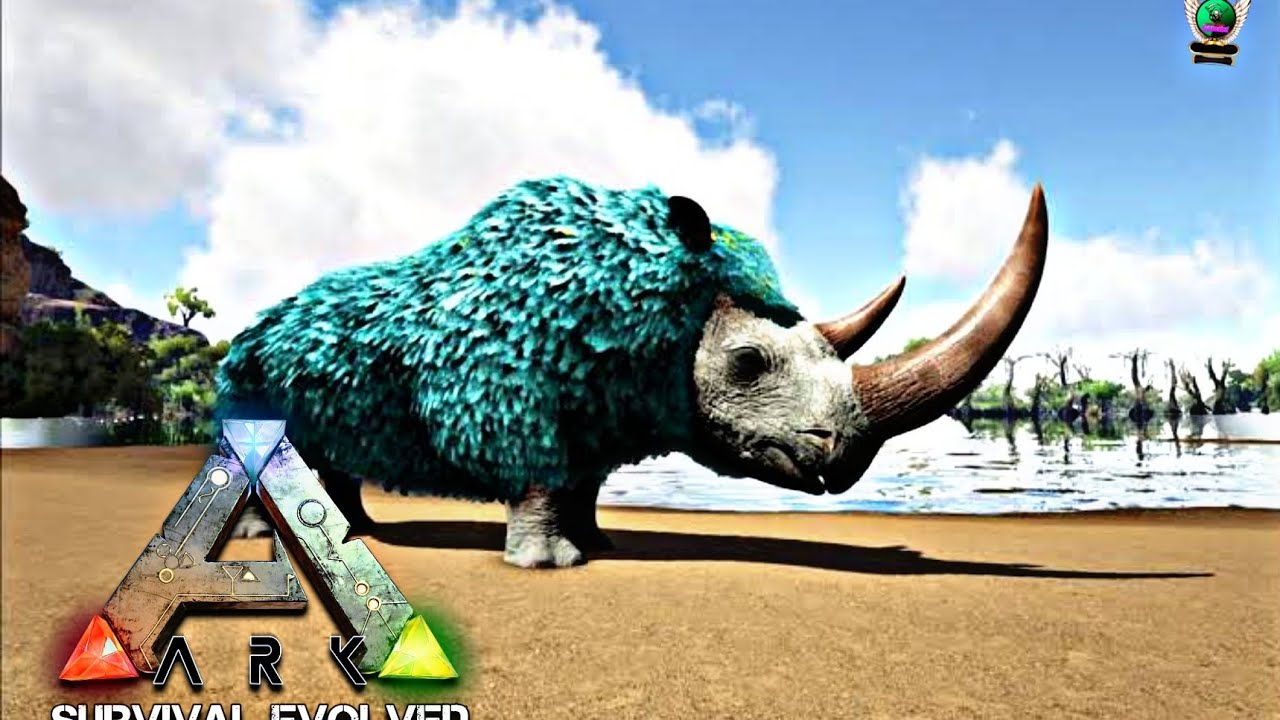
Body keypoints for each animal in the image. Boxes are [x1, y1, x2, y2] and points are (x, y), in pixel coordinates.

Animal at [217, 176, 1048, 568]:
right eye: (749, 362)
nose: (844, 456)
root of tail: (261, 319)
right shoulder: (507, 393)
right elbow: (541, 477)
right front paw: (549, 564)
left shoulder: (602, 413)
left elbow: (580, 483)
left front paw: (598, 546)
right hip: (248, 365)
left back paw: (358, 527)